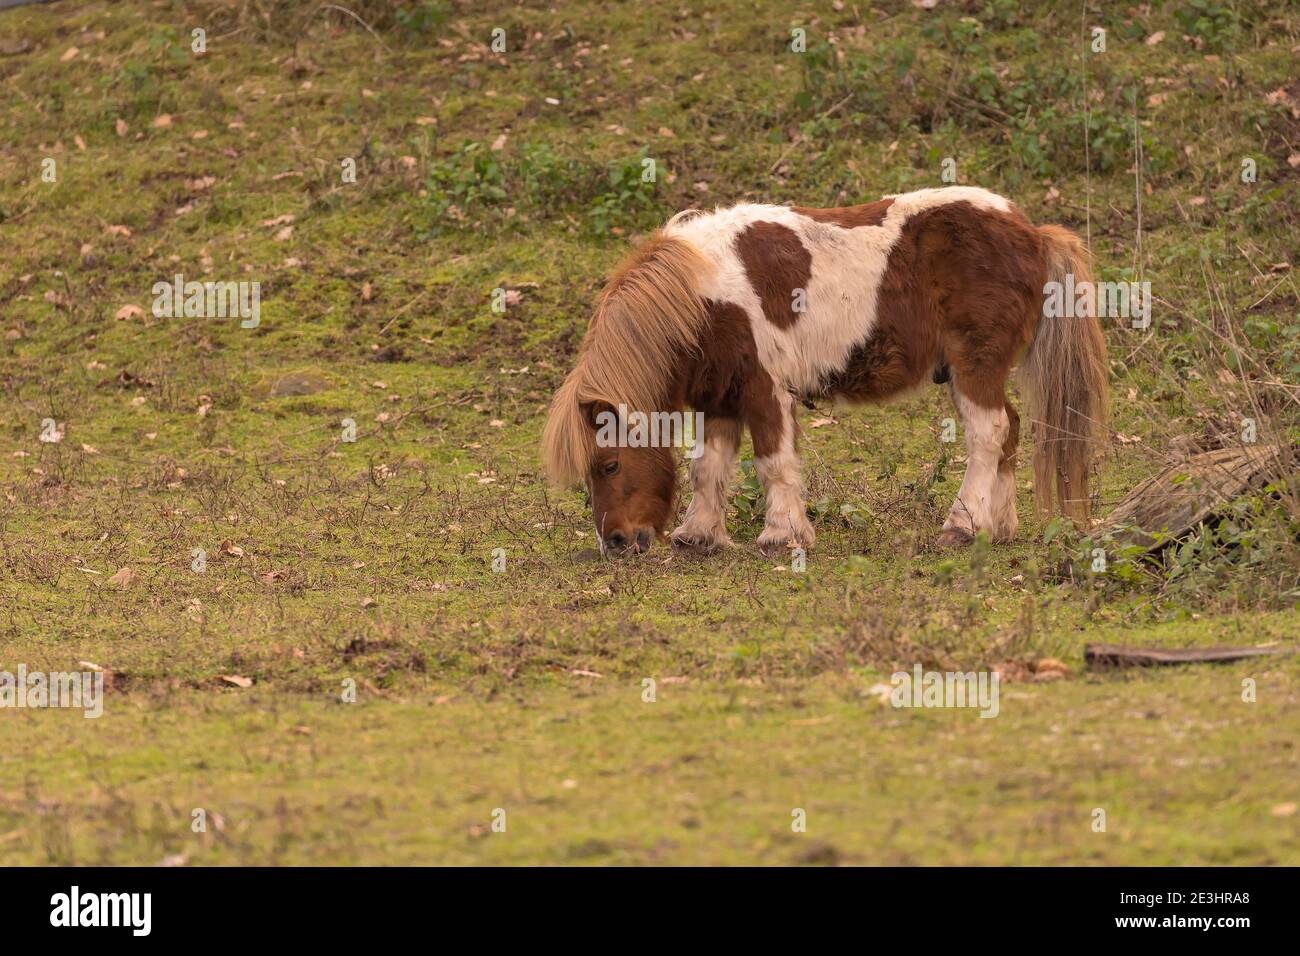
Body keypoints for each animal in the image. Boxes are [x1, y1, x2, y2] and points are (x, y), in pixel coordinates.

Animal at [542, 186, 1109, 556]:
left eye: (609, 464)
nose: (615, 543)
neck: (703, 293)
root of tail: (1033, 233)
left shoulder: (765, 391)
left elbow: (773, 463)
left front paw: (782, 536)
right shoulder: (718, 397)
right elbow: (708, 467)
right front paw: (699, 535)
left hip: (975, 366)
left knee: (988, 434)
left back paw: (962, 528)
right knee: (1009, 431)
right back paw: (1000, 528)